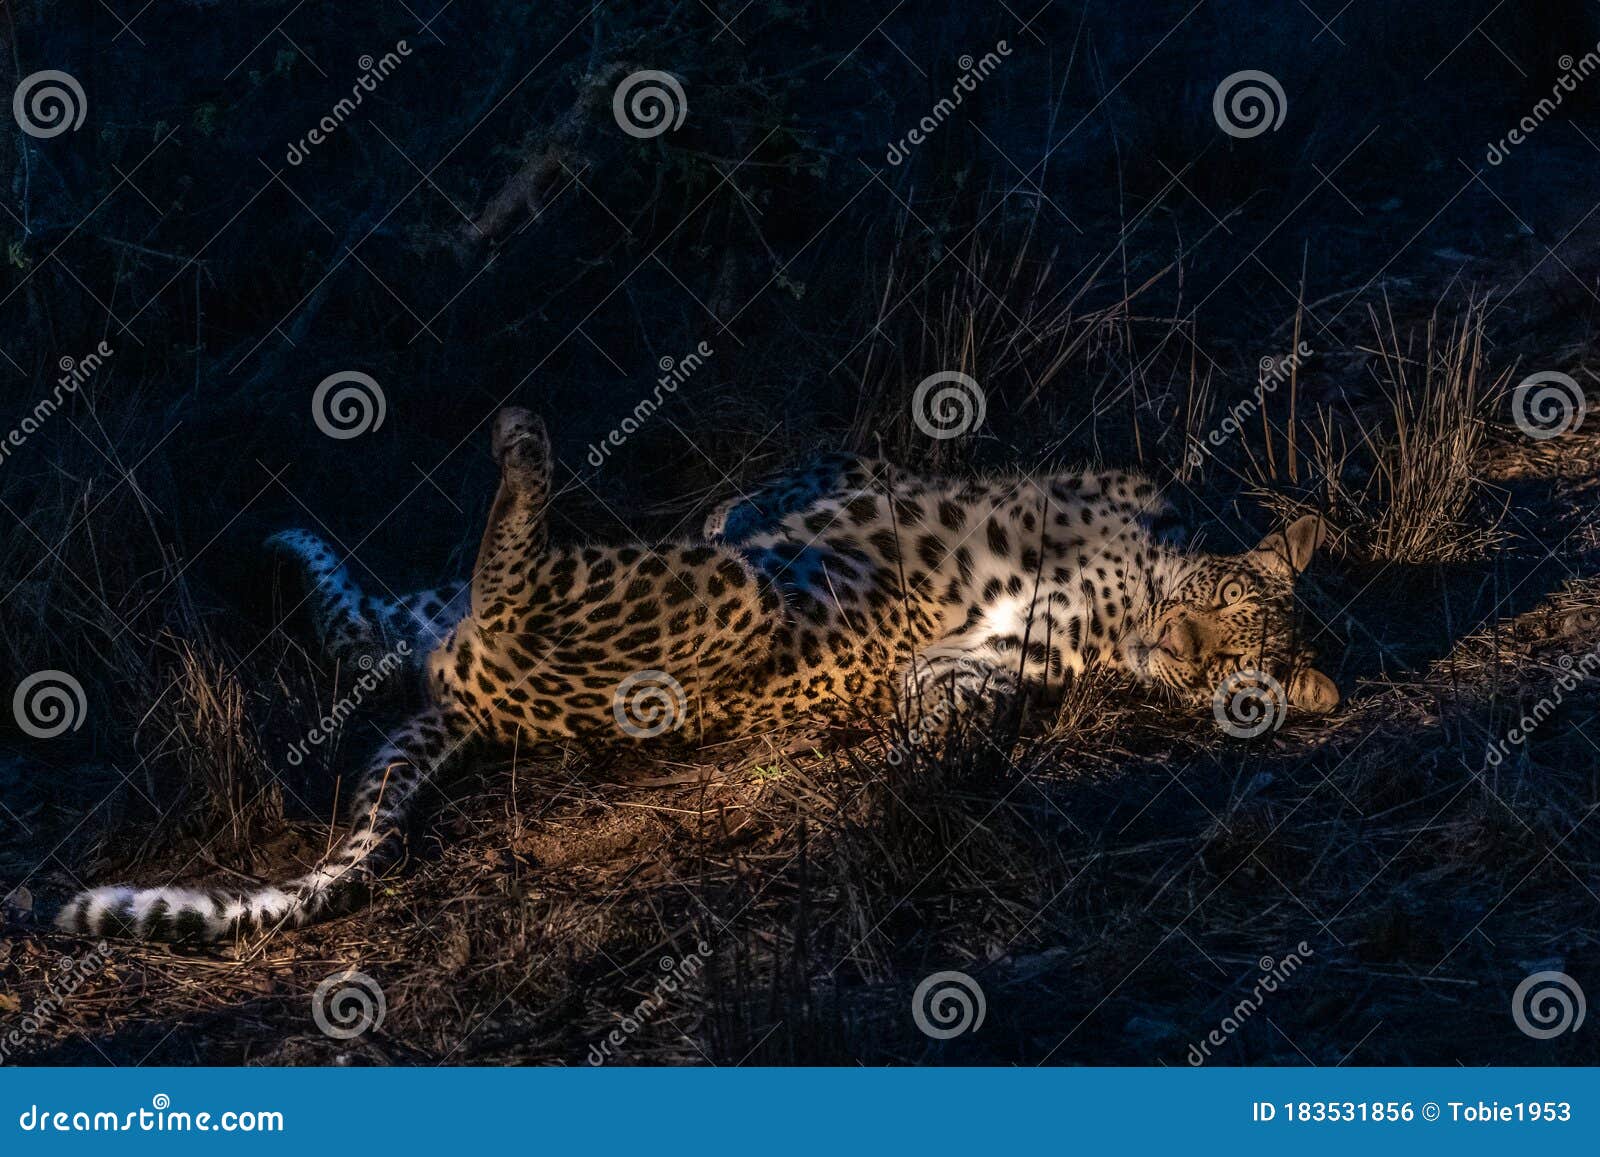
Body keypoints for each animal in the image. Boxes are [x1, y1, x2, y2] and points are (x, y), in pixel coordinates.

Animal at [55, 406, 1338, 942]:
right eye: (1224, 620)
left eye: (1241, 678)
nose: (1180, 654)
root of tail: (472, 701)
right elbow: (809, 481)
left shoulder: (966, 658)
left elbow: (949, 700)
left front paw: (918, 772)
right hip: (455, 616)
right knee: (368, 621)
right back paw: (288, 547)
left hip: (685, 598)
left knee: (491, 575)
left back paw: (522, 451)